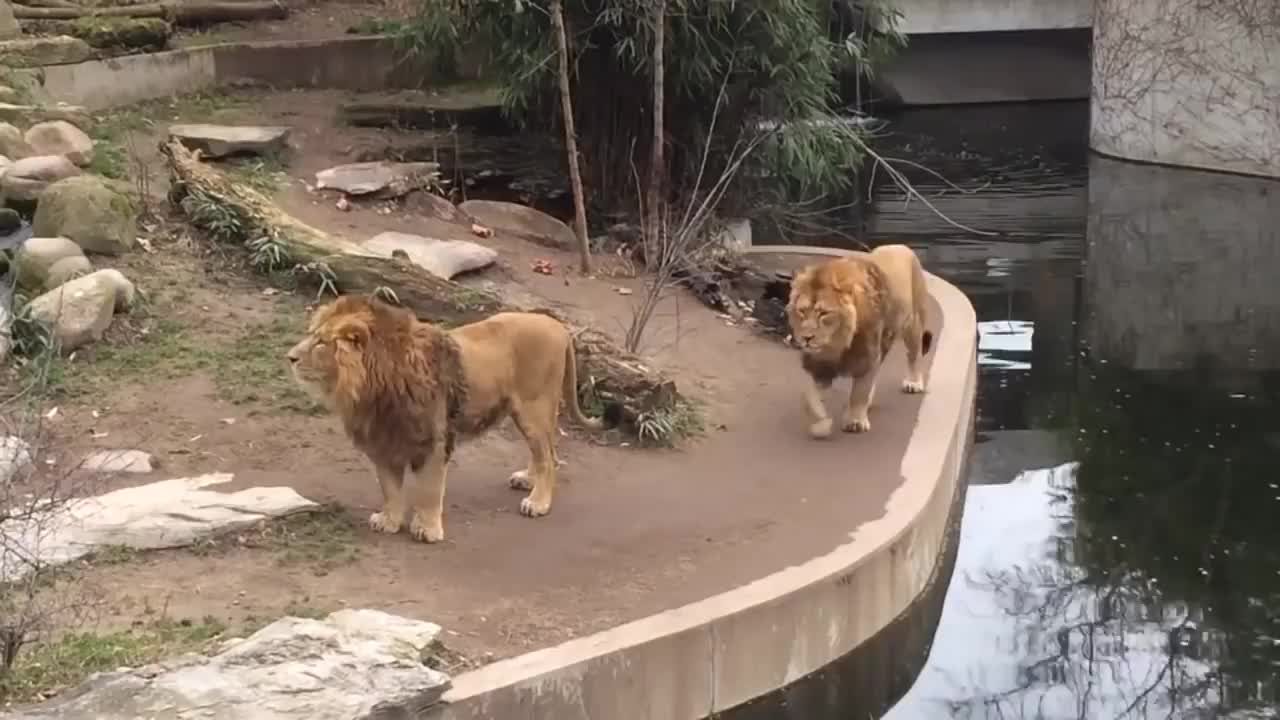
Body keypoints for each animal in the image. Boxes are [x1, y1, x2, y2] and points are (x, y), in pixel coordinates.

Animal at [286, 294, 604, 544]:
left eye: (320, 343)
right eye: (311, 334)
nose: (290, 357)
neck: (370, 387)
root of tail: (558, 326)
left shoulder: (433, 441)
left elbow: (429, 489)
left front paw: (427, 530)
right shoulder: (383, 441)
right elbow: (389, 488)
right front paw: (388, 521)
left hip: (534, 408)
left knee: (549, 457)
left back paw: (538, 503)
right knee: (545, 453)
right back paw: (527, 479)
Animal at [784, 244, 935, 438]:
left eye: (823, 313)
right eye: (802, 311)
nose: (806, 338)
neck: (837, 345)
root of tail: (901, 246)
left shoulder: (867, 356)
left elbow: (859, 392)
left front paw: (855, 421)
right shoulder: (820, 366)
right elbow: (808, 399)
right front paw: (822, 424)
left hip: (912, 325)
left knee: (914, 356)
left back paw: (913, 383)